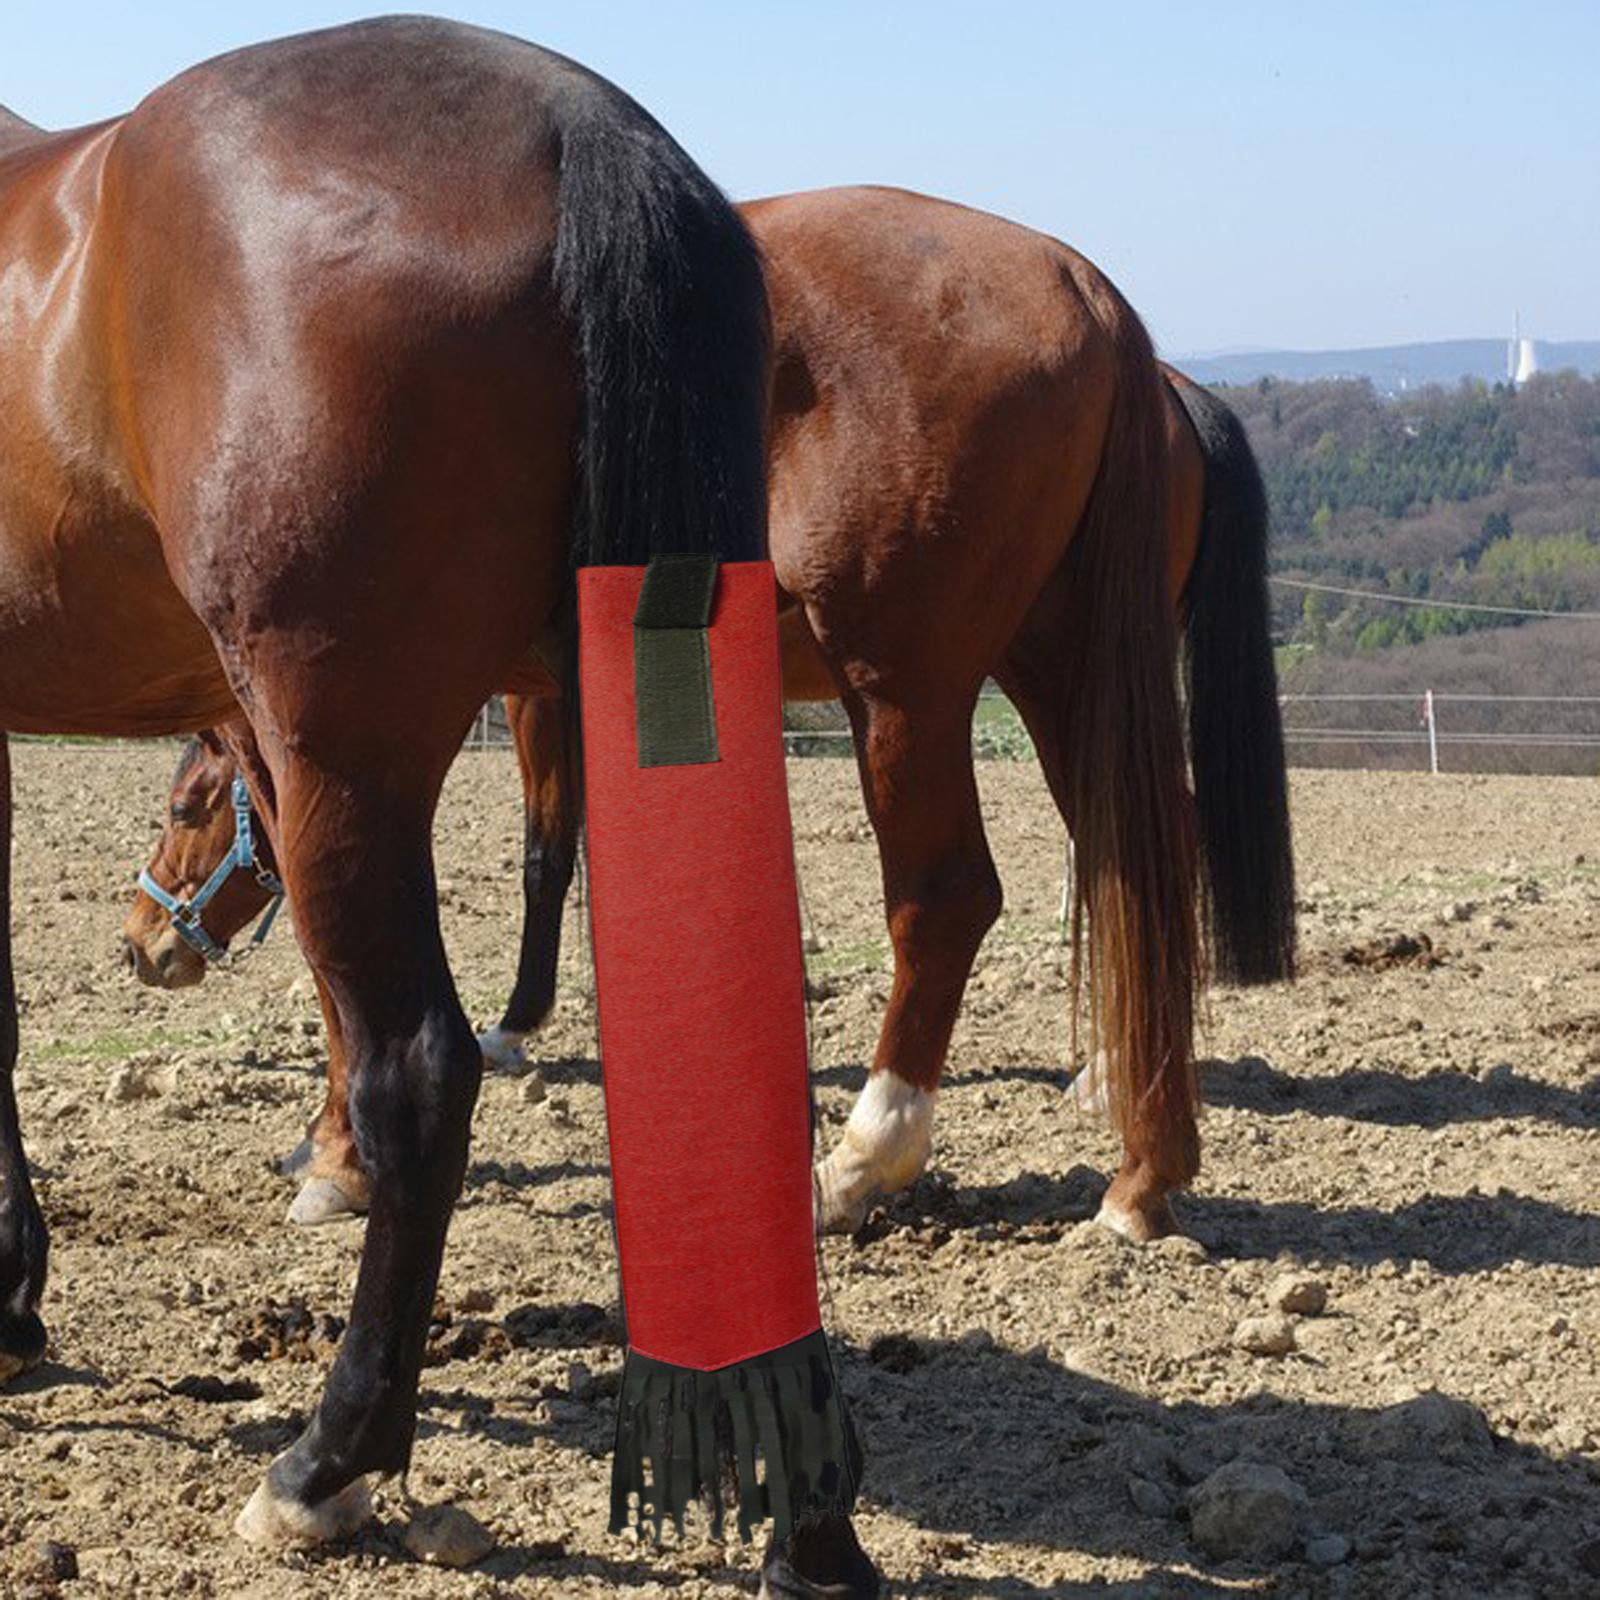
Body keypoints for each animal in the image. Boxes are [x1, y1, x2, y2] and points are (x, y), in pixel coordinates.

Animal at [2, 19, 874, 1589]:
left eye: (186, 797)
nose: (143, 947)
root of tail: (584, 127)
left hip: (349, 755)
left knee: (416, 1070)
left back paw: (324, 1465)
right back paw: (815, 1528)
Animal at [127, 186, 1295, 1245]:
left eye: (186, 809)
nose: (143, 942)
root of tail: (1087, 293)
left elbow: (480, 882)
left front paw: (356, 1142)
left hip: (909, 694)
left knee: (952, 900)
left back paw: (863, 1161)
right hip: (1064, 673)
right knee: (1135, 862)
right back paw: (1141, 1165)